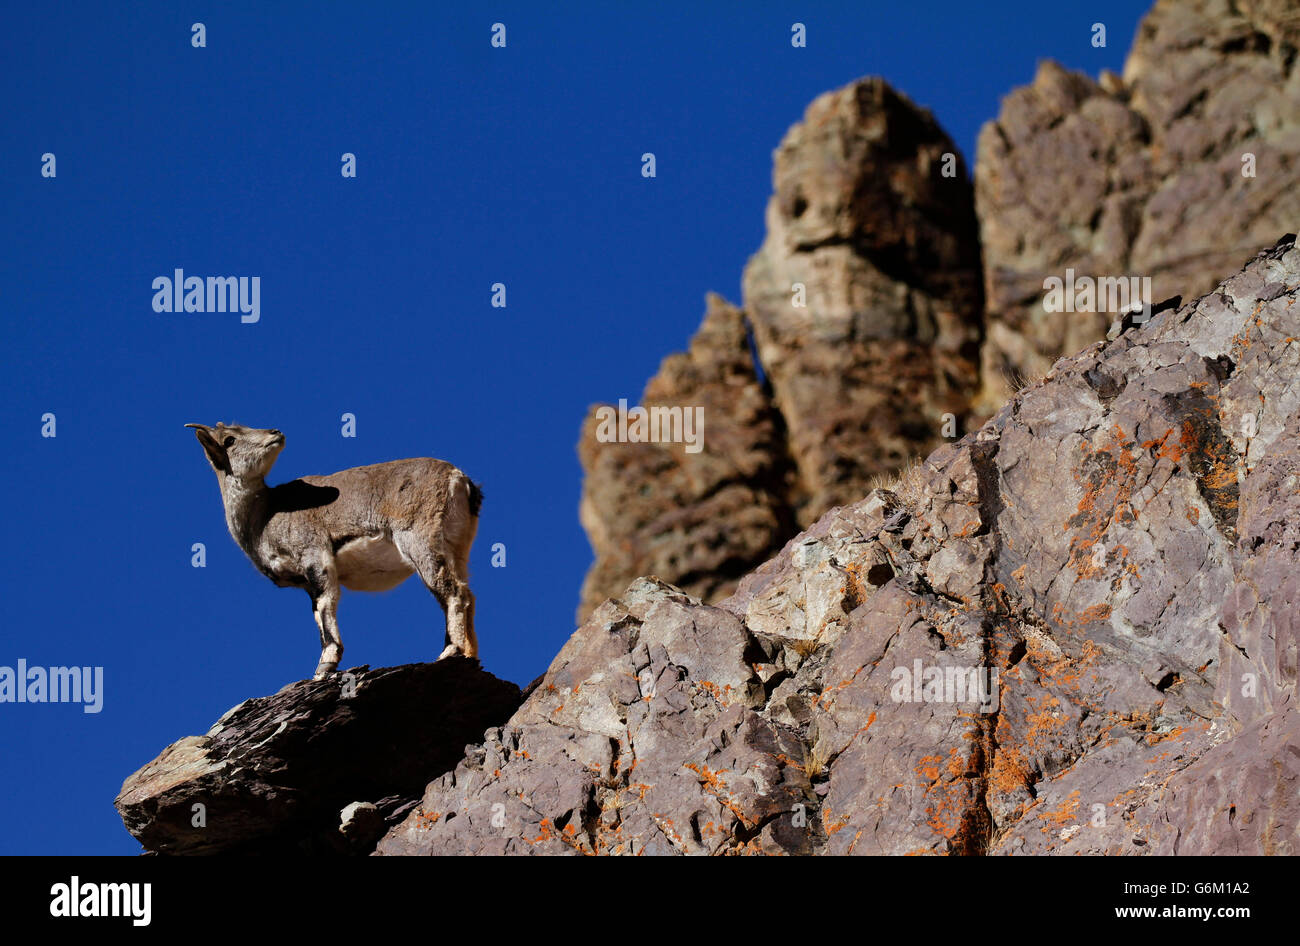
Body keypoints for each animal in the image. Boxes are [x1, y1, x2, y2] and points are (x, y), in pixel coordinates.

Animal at [184, 423, 482, 680]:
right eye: (229, 440)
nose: (275, 432)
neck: (265, 515)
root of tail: (458, 478)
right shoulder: (306, 582)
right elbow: (317, 612)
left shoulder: (315, 556)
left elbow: (326, 606)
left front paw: (324, 667)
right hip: (457, 547)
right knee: (467, 594)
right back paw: (469, 655)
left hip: (420, 542)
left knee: (453, 592)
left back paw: (450, 651)